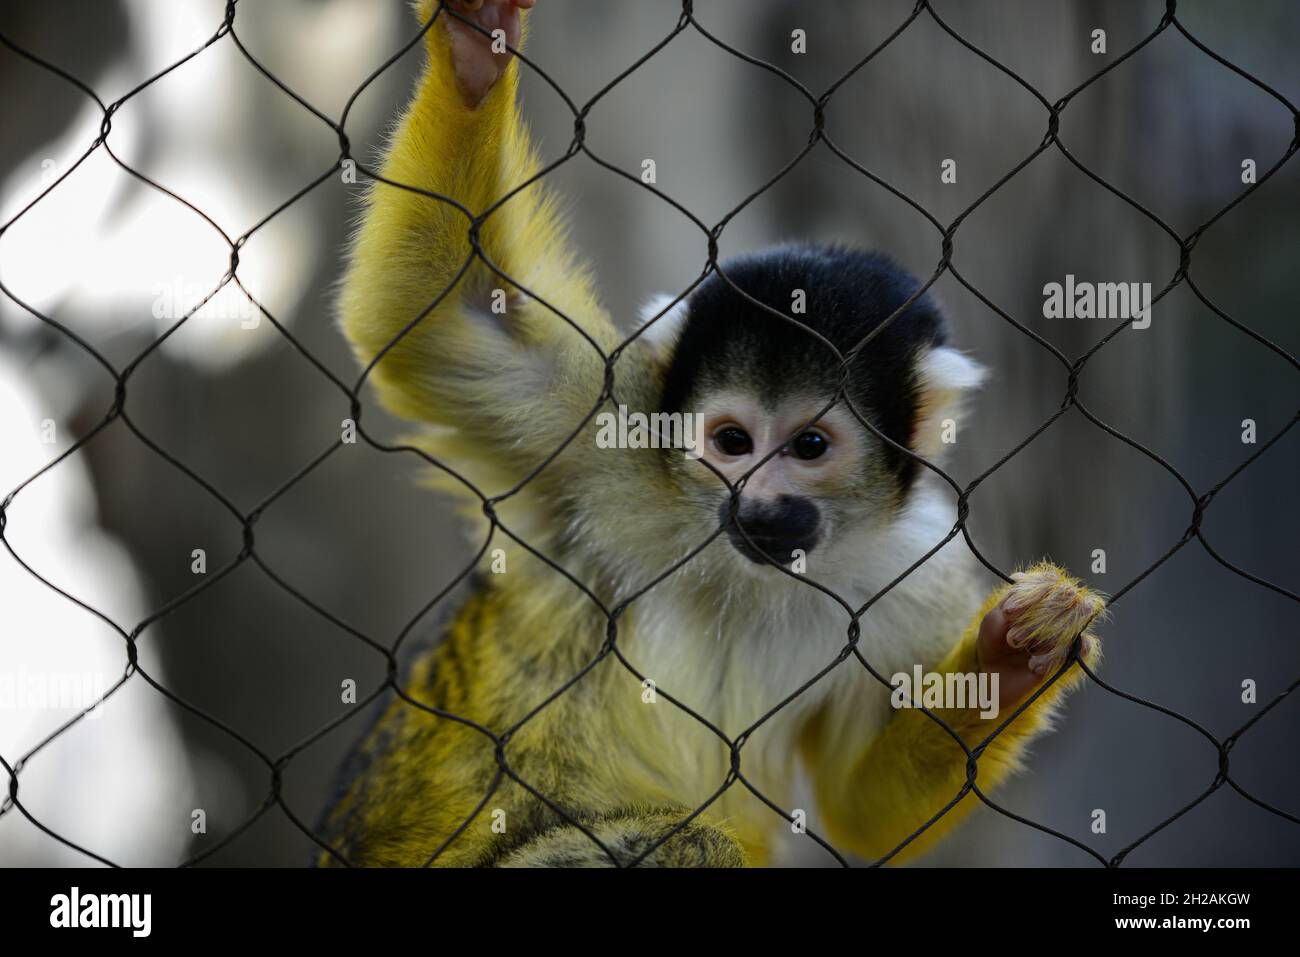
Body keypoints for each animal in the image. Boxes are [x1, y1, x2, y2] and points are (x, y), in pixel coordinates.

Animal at [316, 0, 1108, 867]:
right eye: (731, 442)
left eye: (808, 448)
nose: (759, 504)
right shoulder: (606, 430)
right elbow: (436, 323)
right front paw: (473, 56)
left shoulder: (917, 569)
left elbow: (865, 810)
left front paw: (1017, 656)